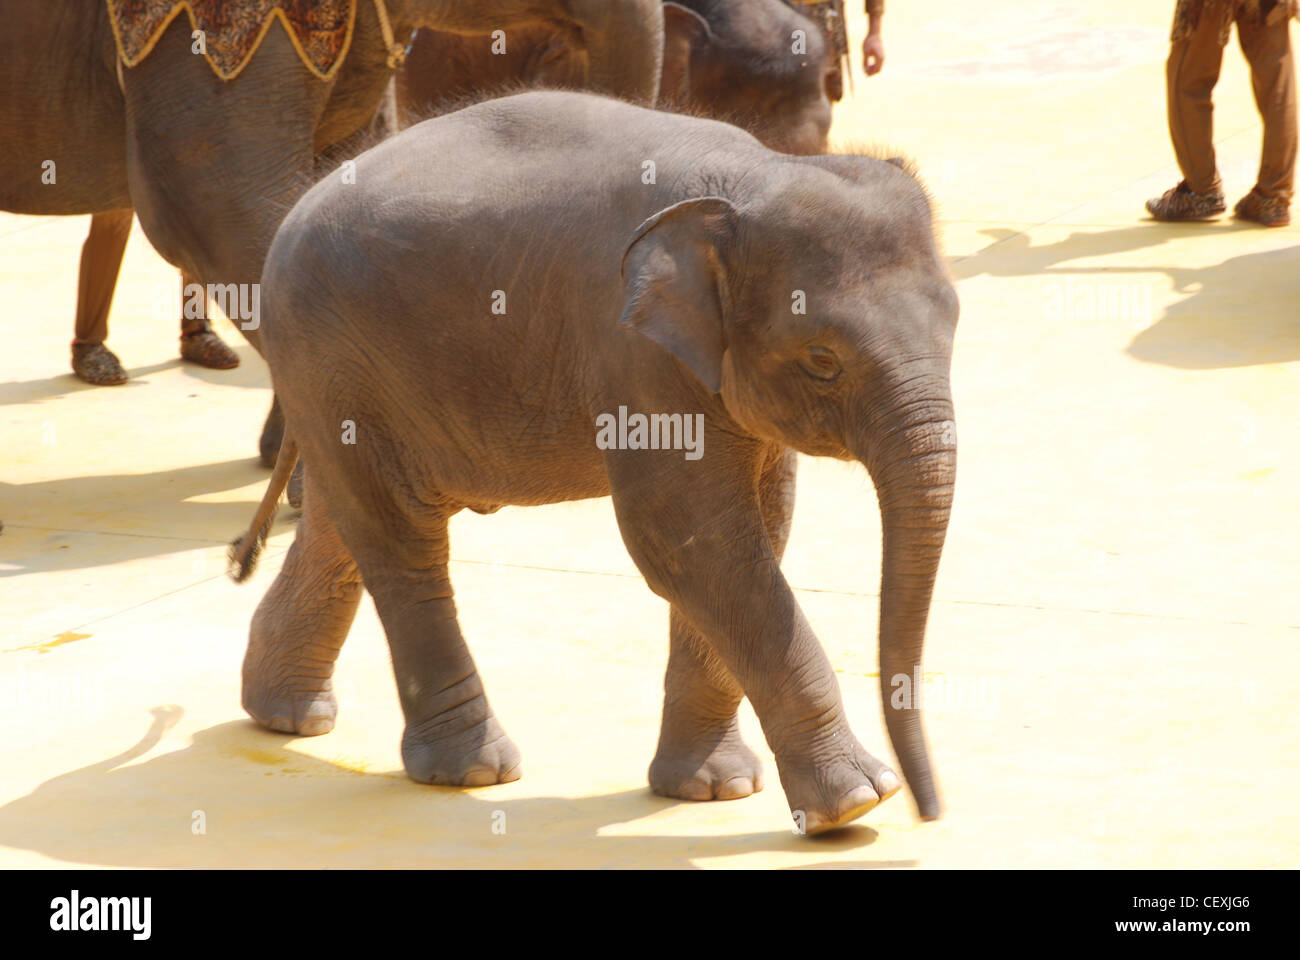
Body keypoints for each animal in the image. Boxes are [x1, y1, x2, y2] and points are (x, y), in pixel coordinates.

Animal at [229, 90, 958, 833]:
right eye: (823, 360)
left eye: (955, 324)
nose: (930, 813)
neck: (752, 176)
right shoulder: (632, 350)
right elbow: (689, 541)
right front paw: (856, 805)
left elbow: (757, 525)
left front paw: (715, 790)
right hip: (330, 349)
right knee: (402, 539)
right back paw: (472, 772)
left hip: (340, 377)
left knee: (340, 524)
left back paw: (287, 717)